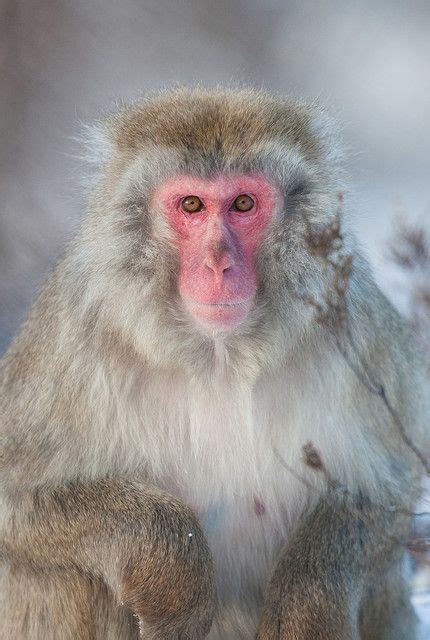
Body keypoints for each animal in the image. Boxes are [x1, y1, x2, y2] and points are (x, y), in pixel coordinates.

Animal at [0, 86, 428, 640]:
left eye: (243, 203)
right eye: (191, 205)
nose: (217, 262)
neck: (219, 357)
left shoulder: (357, 336)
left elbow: (386, 489)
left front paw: (306, 604)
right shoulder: (73, 341)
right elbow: (17, 498)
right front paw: (174, 574)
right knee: (63, 572)